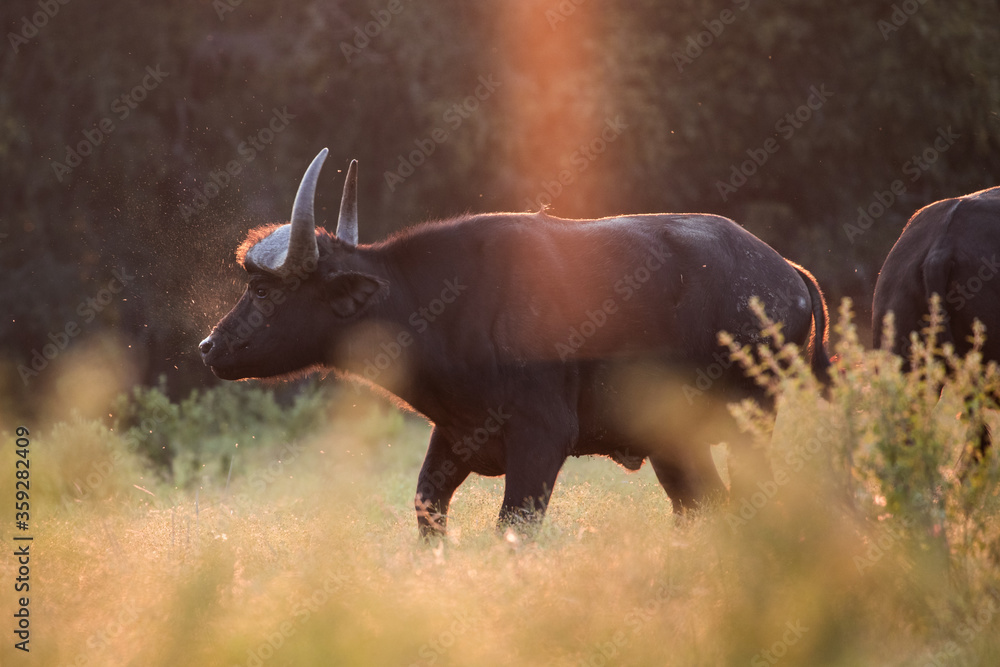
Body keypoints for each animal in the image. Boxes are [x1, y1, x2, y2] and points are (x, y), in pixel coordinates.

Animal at [200, 148, 831, 536]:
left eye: (261, 287)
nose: (209, 346)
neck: (447, 309)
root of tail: (790, 273)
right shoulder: (455, 436)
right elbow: (428, 513)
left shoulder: (542, 437)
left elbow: (513, 529)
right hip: (676, 442)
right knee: (704, 507)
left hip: (750, 421)